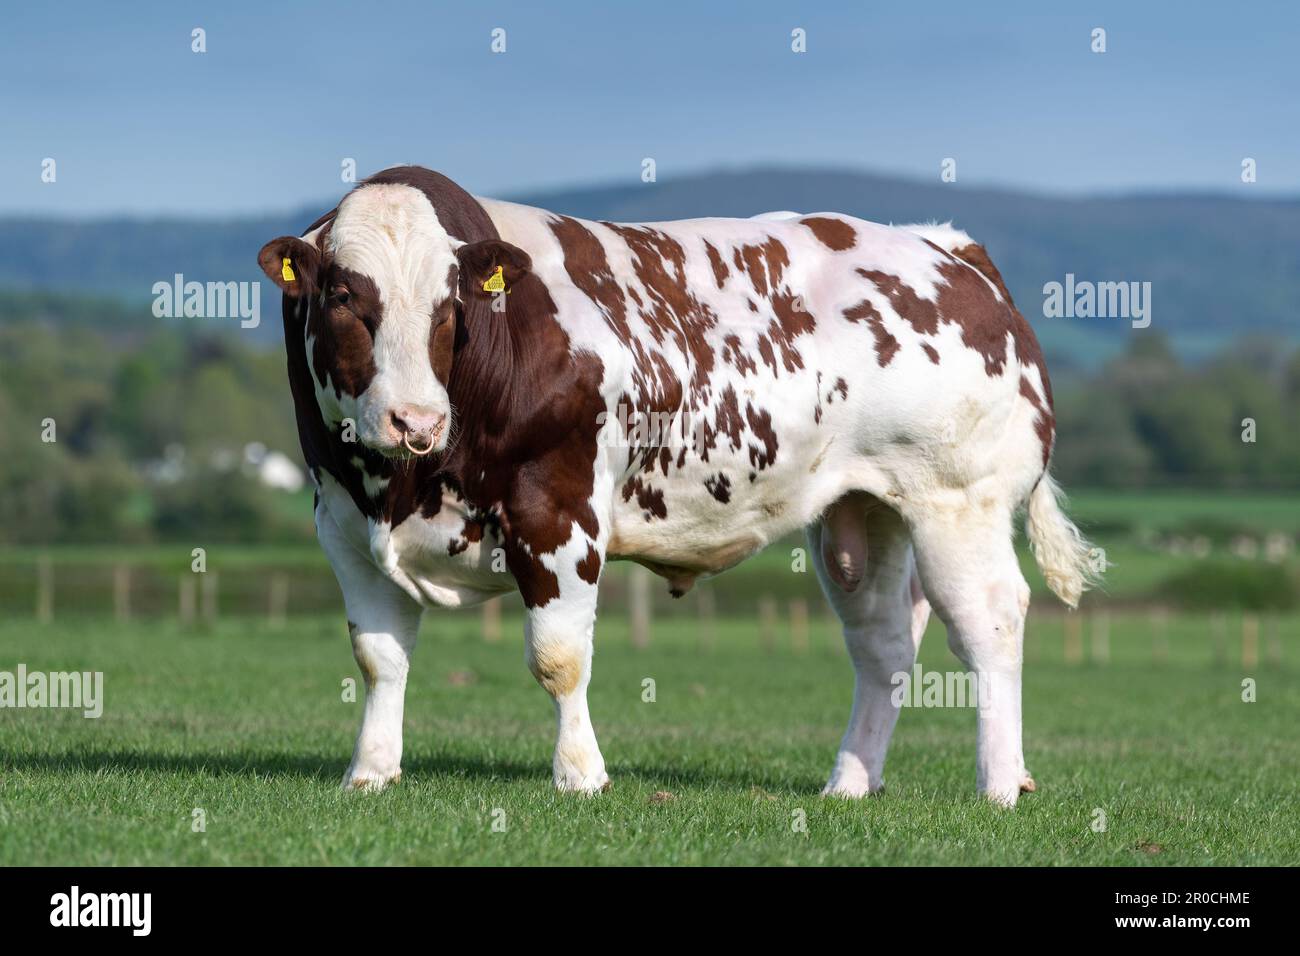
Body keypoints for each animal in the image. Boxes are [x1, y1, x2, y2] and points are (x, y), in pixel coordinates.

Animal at [257, 165, 1099, 806]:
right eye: (344, 299)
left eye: (450, 306)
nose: (414, 419)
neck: (406, 485)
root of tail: (946, 248)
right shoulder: (343, 521)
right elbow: (380, 657)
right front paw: (370, 772)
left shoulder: (558, 511)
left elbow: (559, 656)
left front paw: (580, 776)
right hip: (864, 510)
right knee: (883, 641)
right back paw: (848, 785)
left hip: (958, 500)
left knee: (990, 624)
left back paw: (999, 785)